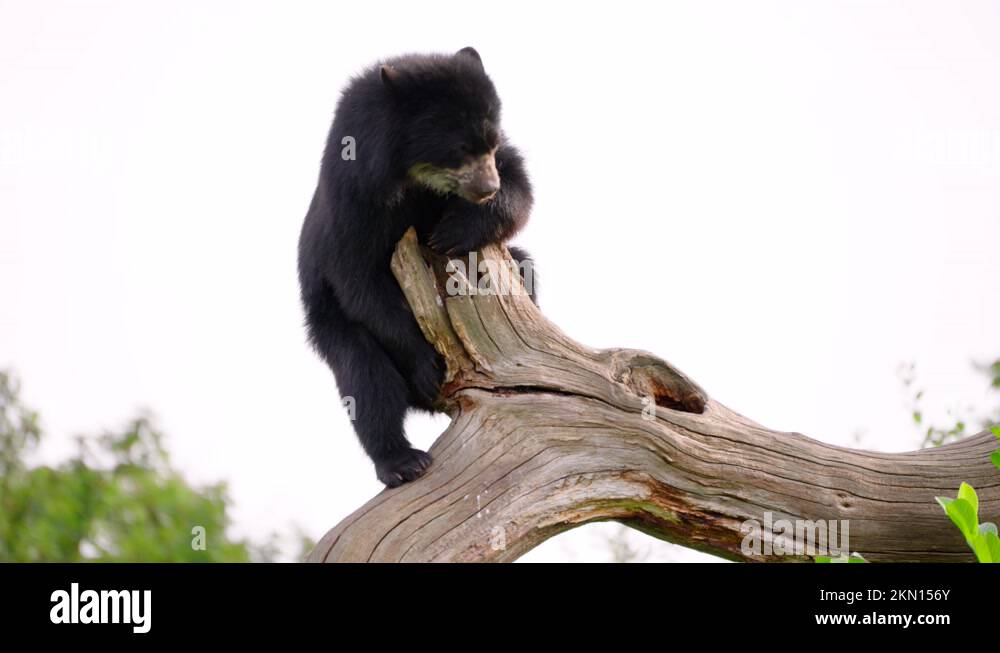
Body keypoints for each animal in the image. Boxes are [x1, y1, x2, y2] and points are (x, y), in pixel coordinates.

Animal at [297, 47, 535, 487]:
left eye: (491, 143)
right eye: (459, 148)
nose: (486, 188)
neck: (408, 174)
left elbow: (521, 187)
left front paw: (452, 232)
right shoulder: (352, 194)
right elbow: (360, 281)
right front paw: (427, 365)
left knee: (525, 264)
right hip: (330, 326)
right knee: (367, 380)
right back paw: (402, 461)